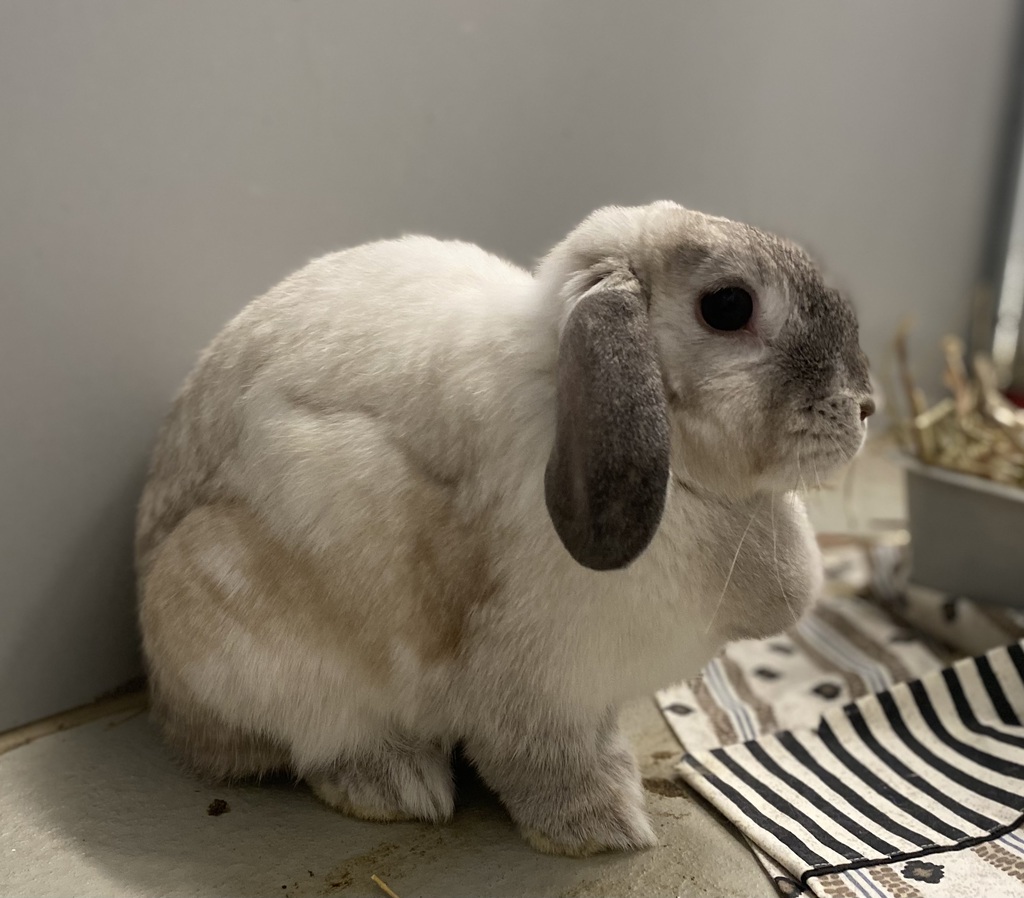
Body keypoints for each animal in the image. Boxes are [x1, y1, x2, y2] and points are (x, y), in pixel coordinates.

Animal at [135, 200, 873, 856]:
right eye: (727, 307)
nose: (866, 405)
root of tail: (168, 705)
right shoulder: (535, 680)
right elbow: (541, 759)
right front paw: (602, 829)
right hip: (262, 631)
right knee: (316, 740)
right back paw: (395, 784)